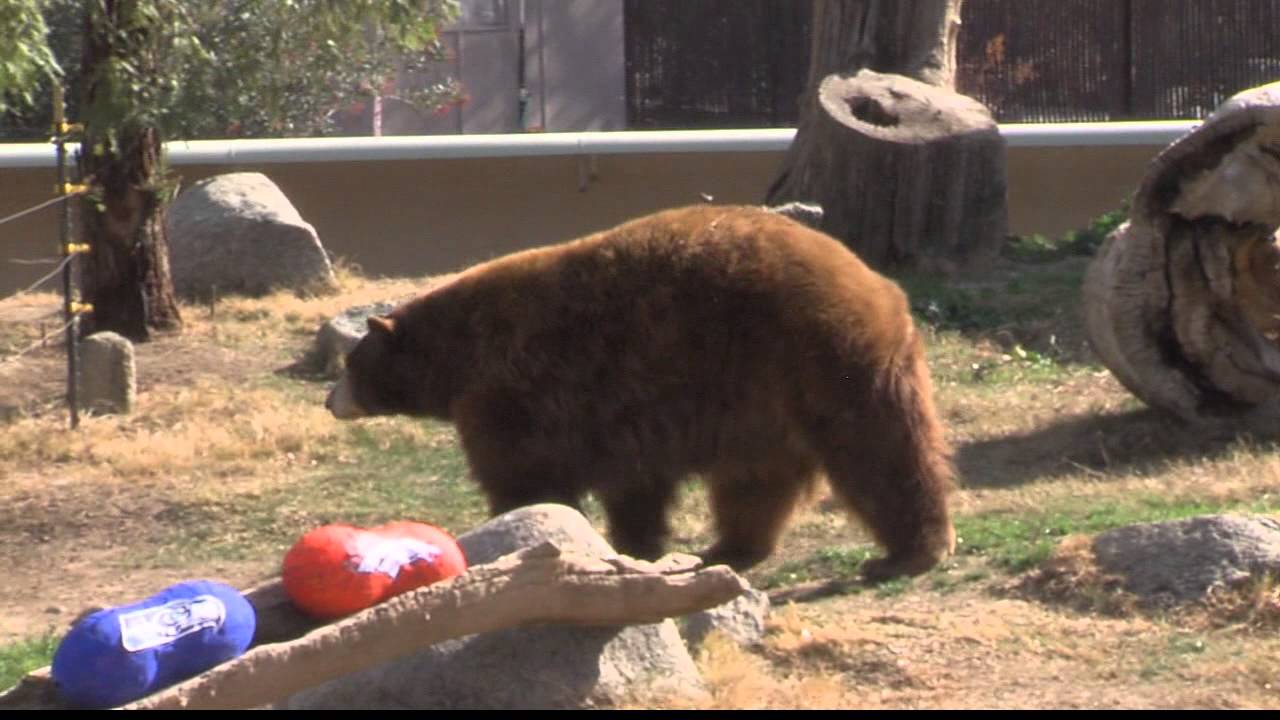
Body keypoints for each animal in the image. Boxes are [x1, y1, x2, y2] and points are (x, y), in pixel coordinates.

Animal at [326, 204, 956, 580]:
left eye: (350, 362)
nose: (330, 399)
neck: (459, 354)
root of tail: (878, 289)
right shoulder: (626, 416)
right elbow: (637, 486)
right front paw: (639, 545)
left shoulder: (522, 393)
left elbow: (524, 474)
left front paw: (525, 522)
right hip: (765, 399)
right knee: (756, 482)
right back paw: (731, 548)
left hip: (822, 363)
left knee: (879, 456)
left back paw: (908, 553)